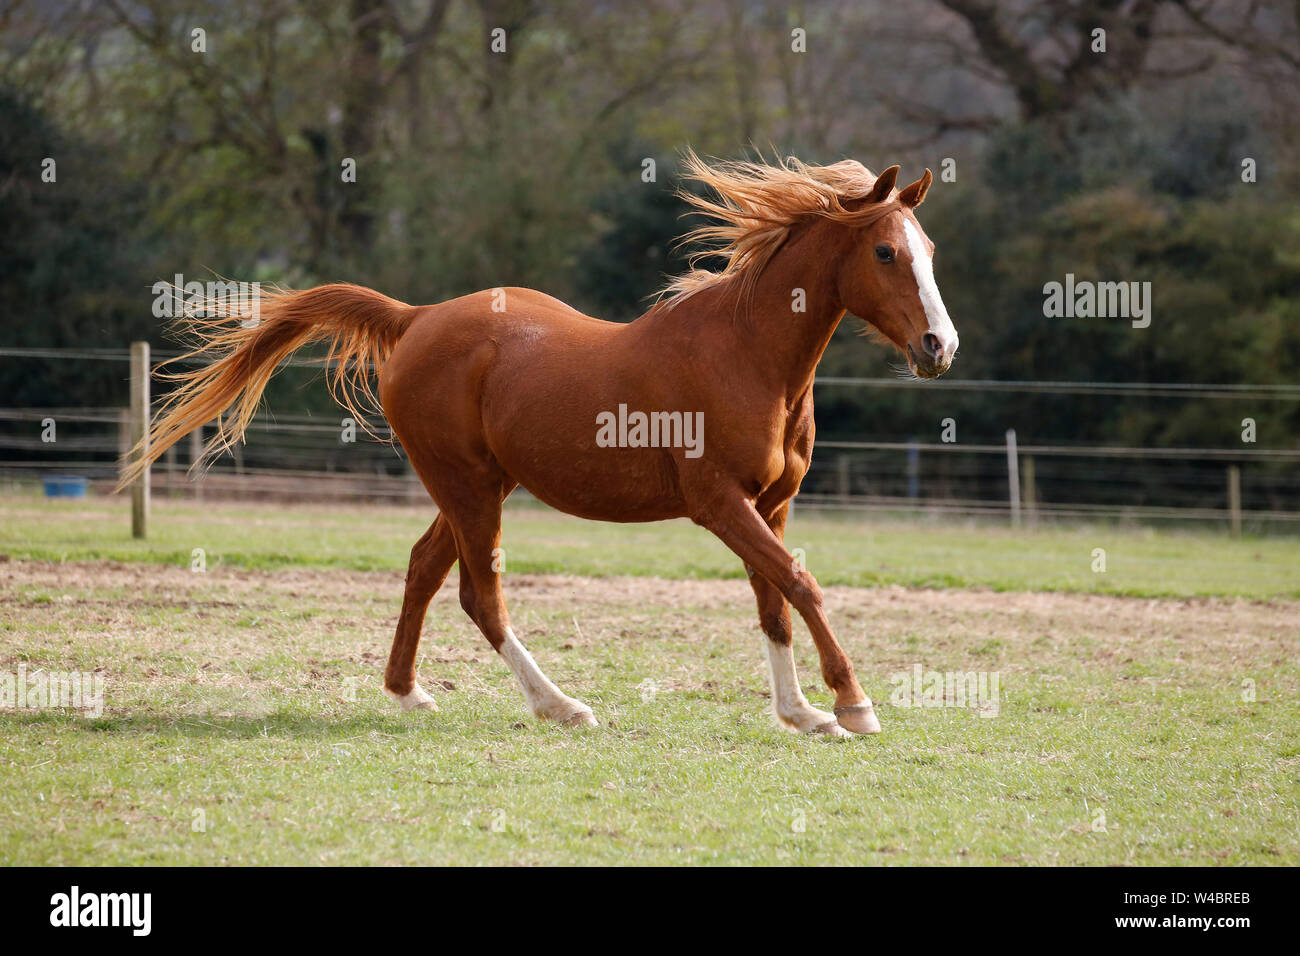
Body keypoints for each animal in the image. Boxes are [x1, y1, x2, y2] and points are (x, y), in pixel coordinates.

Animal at [120, 152, 959, 737]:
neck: (749, 355)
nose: (939, 347)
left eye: (931, 249)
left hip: (476, 486)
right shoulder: (719, 503)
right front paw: (853, 705)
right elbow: (800, 584)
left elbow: (775, 600)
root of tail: (414, 318)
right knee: (478, 594)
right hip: (466, 487)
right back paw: (561, 706)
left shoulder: (771, 505)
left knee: (424, 570)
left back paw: (409, 692)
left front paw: (803, 713)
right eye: (886, 253)